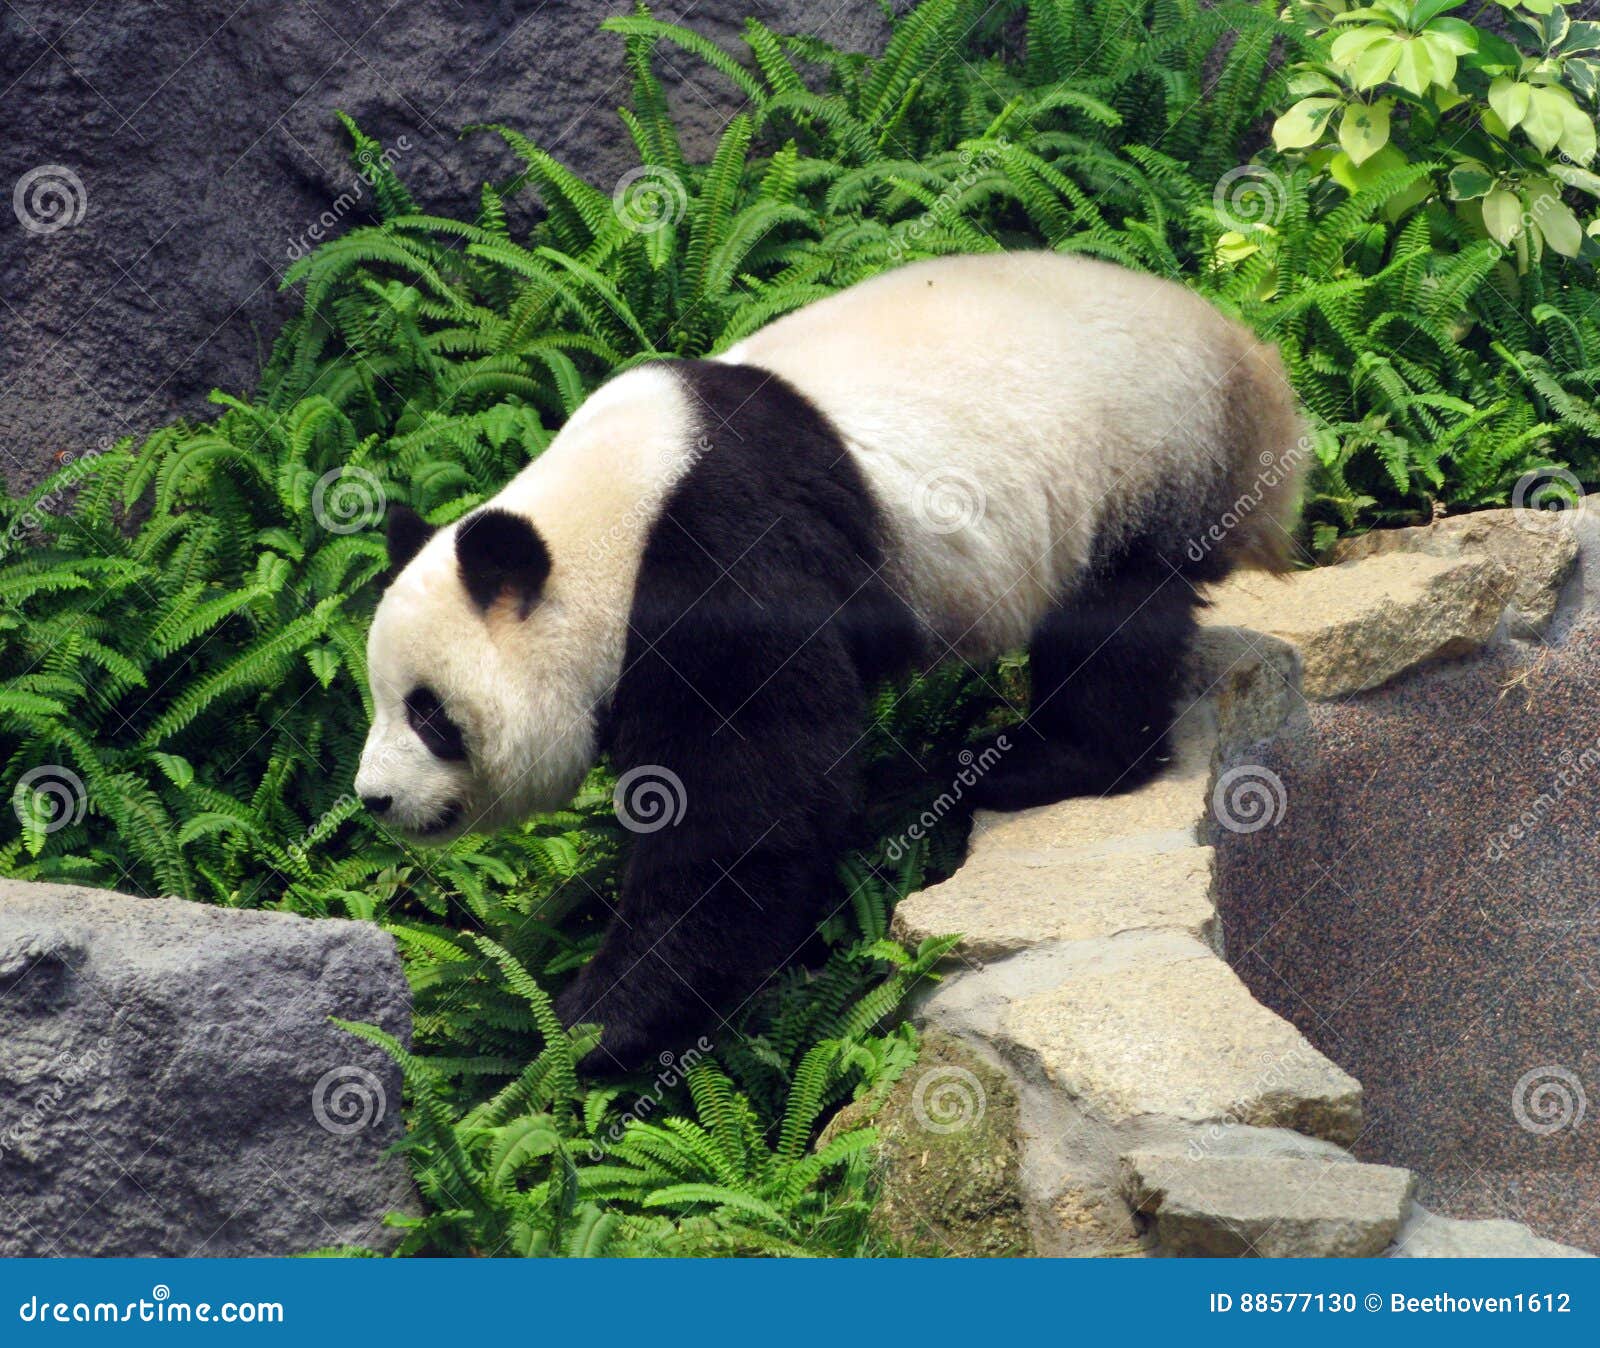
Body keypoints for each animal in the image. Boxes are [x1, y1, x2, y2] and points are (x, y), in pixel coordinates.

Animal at [354, 251, 1306, 1070]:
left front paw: (591, 1028)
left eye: (429, 712)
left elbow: (749, 803)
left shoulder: (725, 553)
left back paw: (1029, 765)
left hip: (1137, 464)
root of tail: (1257, 371)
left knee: (1111, 630)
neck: (608, 519)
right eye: (383, 700)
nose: (374, 799)